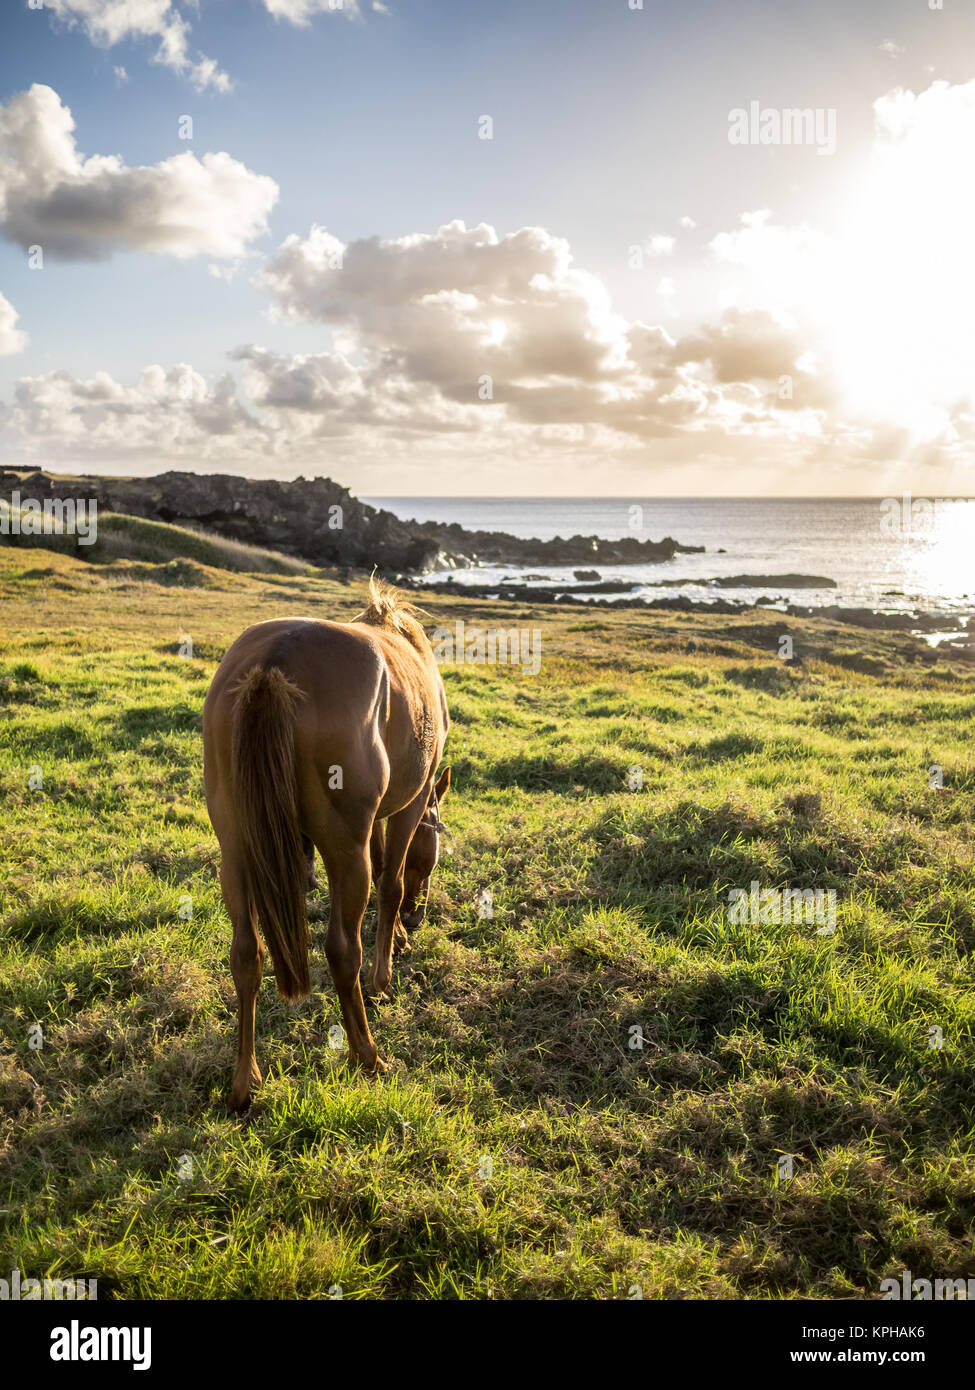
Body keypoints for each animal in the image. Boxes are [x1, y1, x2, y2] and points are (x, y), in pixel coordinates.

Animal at [203, 579, 450, 1111]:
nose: (418, 918)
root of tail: (273, 665)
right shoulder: (410, 803)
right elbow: (390, 881)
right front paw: (384, 975)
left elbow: (382, 862)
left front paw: (394, 940)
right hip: (342, 853)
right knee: (341, 949)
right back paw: (368, 1055)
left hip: (235, 851)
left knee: (245, 953)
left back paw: (245, 1080)